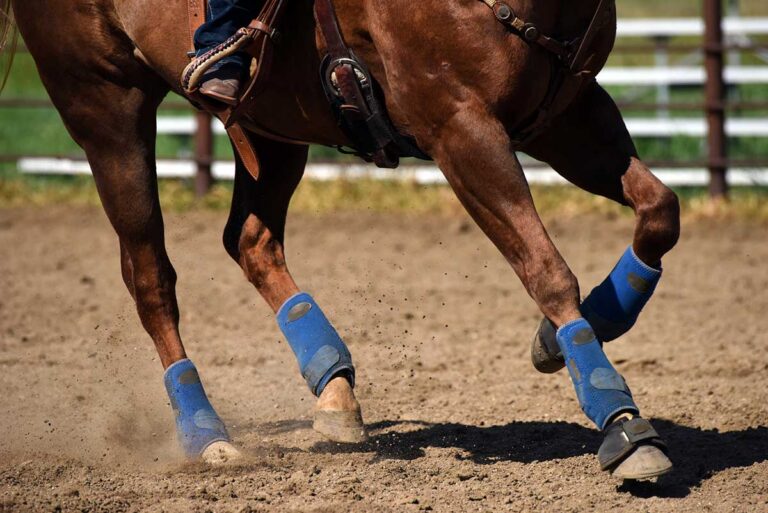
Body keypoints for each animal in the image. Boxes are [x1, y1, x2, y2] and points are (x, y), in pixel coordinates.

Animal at [5, 0, 681, 479]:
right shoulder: (461, 127)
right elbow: (546, 268)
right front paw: (621, 423)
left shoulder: (567, 111)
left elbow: (660, 212)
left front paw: (580, 327)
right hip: (105, 107)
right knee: (150, 274)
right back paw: (206, 434)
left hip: (271, 123)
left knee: (251, 241)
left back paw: (333, 388)